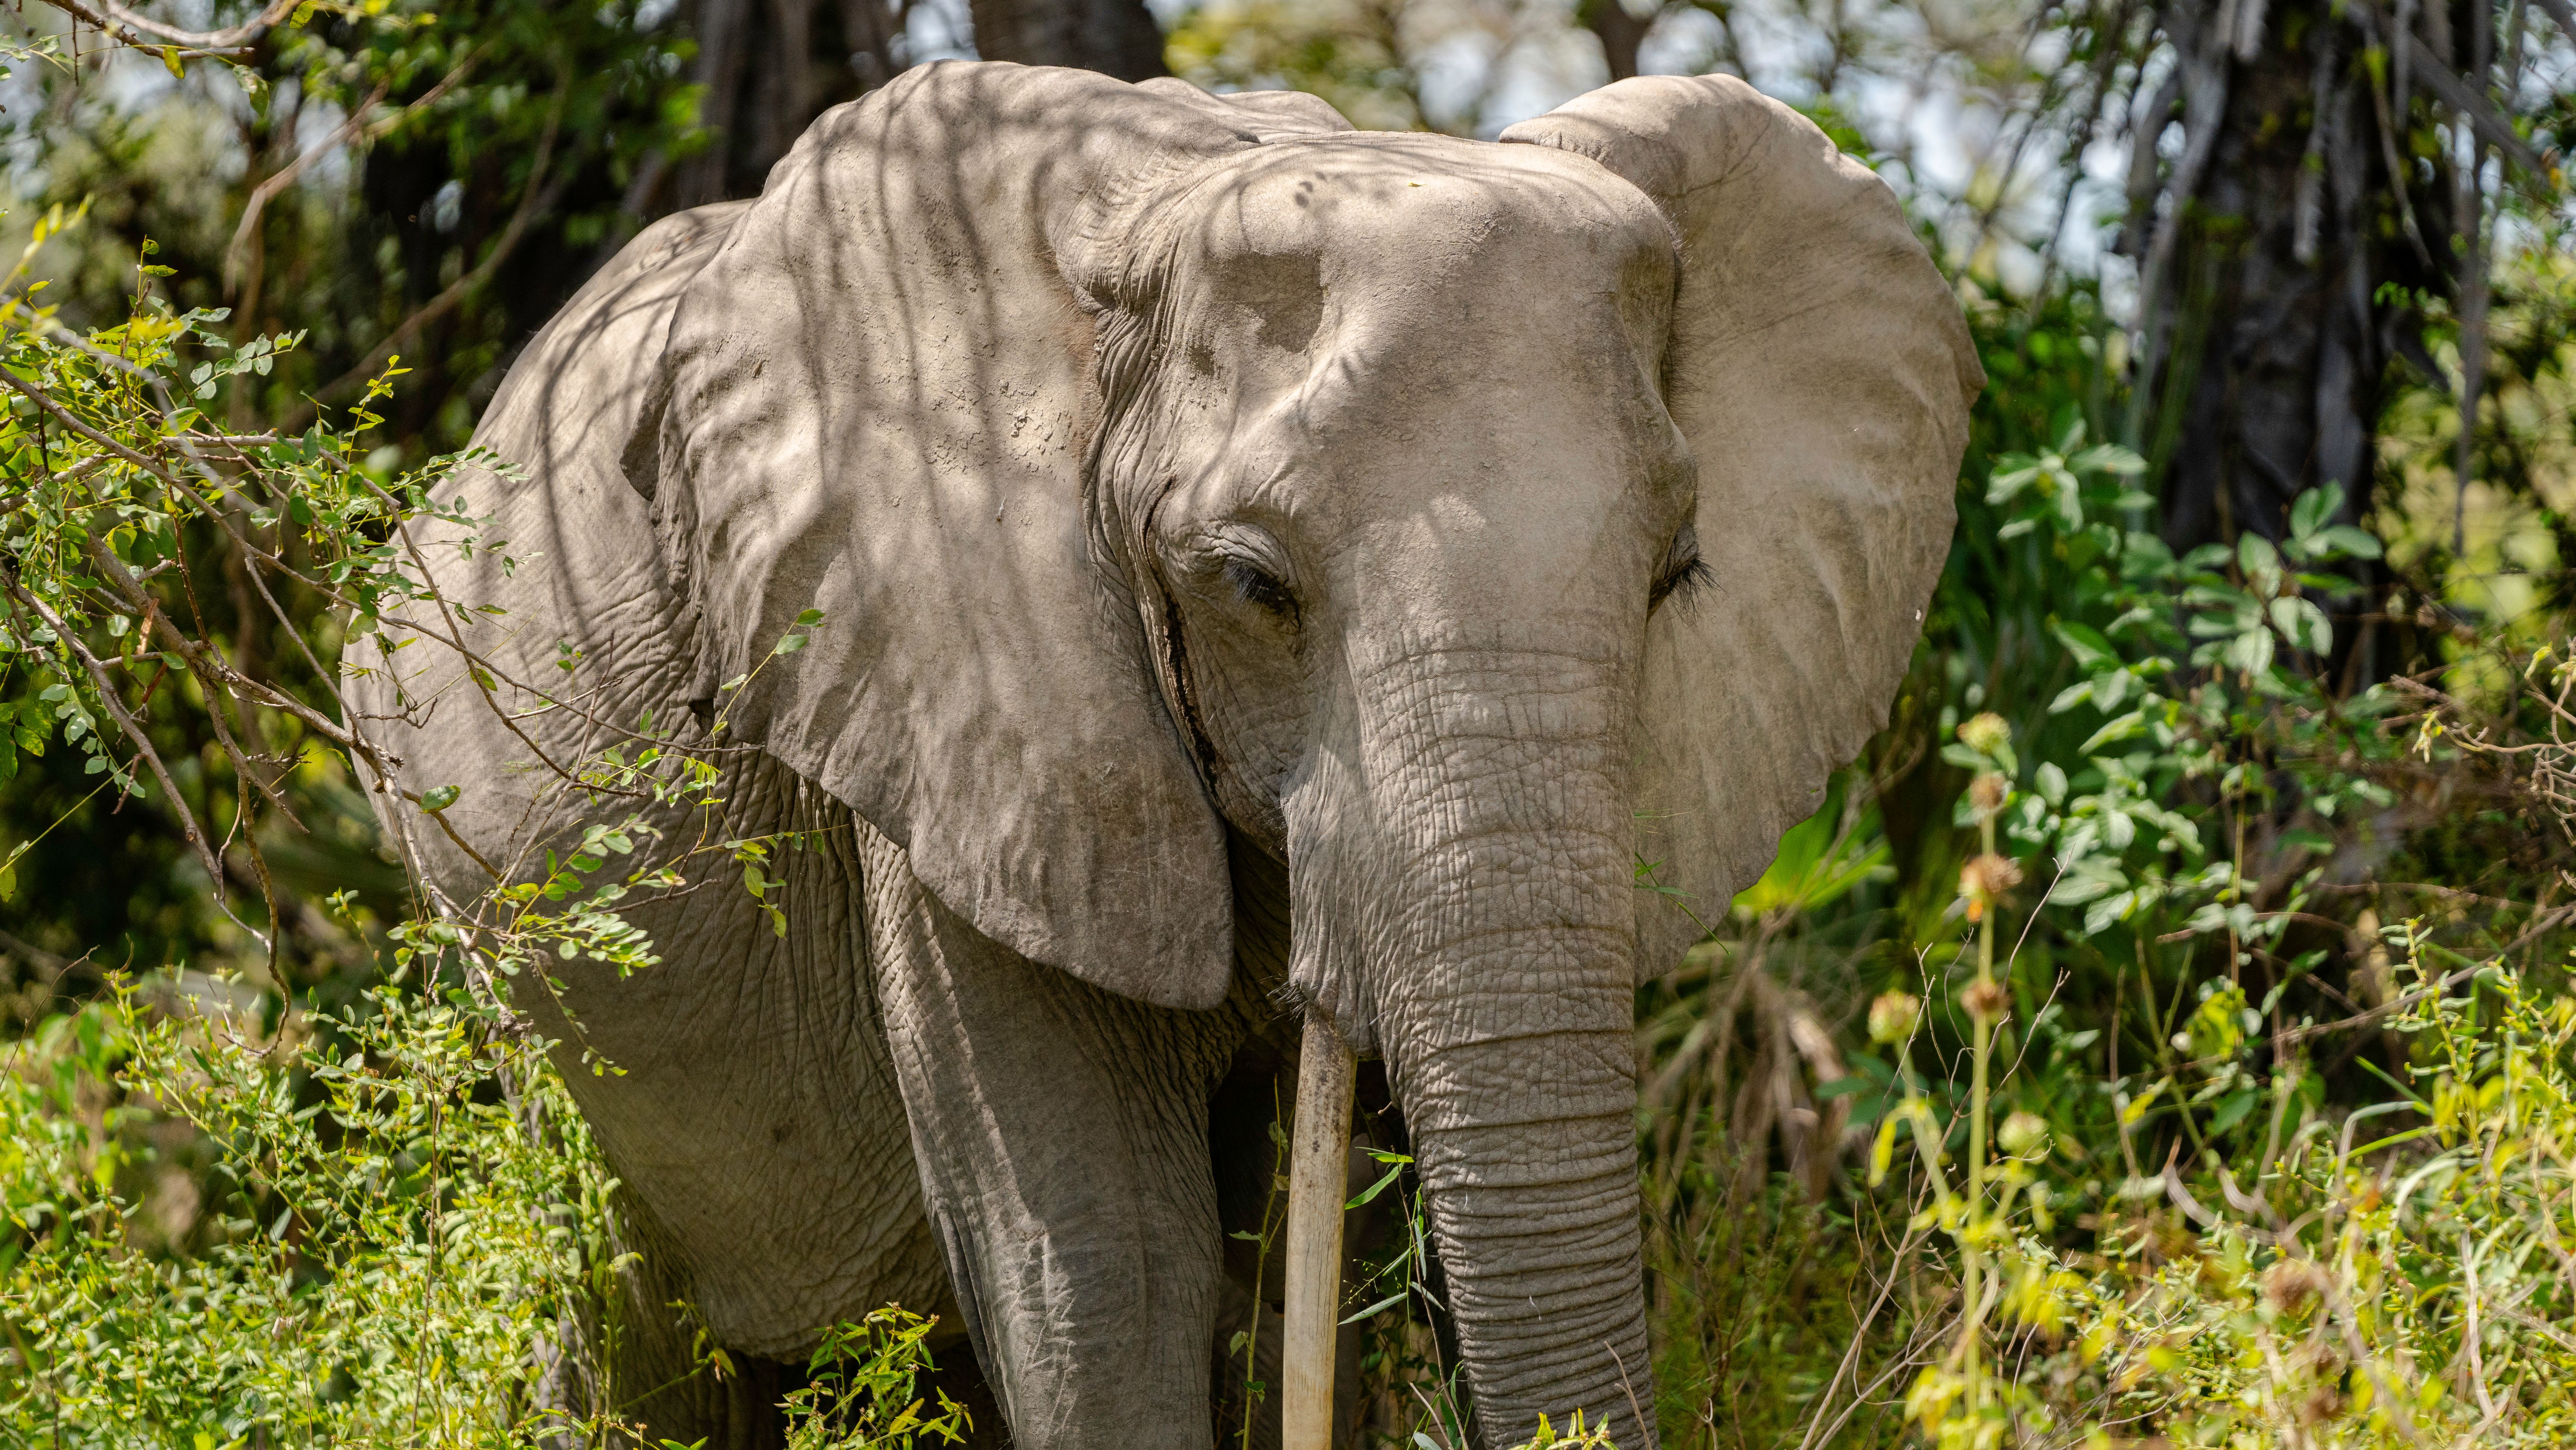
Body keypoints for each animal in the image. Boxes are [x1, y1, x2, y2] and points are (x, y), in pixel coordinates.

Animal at [349, 59, 1979, 1450]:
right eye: (1252, 584)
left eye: (1674, 575)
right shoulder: (961, 687)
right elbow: (1107, 1262)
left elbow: (1280, 1269)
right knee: (622, 1311)